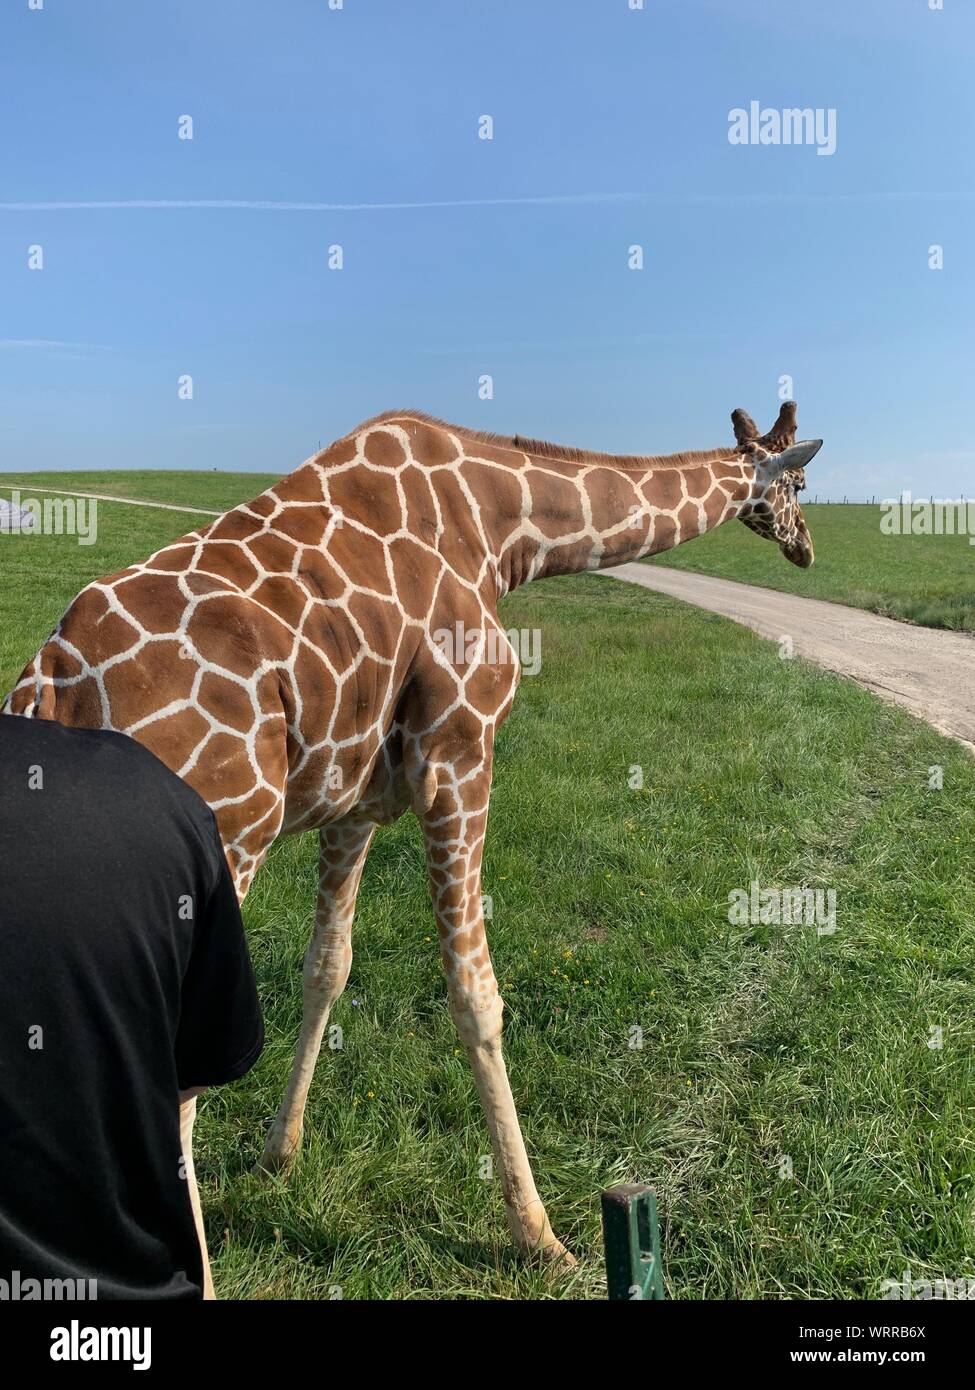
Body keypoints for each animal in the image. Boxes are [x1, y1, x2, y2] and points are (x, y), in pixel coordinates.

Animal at [4, 400, 821, 1265]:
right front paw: (538, 1235)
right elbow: (476, 994)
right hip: (226, 841)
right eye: (799, 483)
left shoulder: (352, 796)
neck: (505, 532)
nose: (805, 547)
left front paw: (278, 1156)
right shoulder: (460, 751)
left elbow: (328, 965)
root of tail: (50, 686)